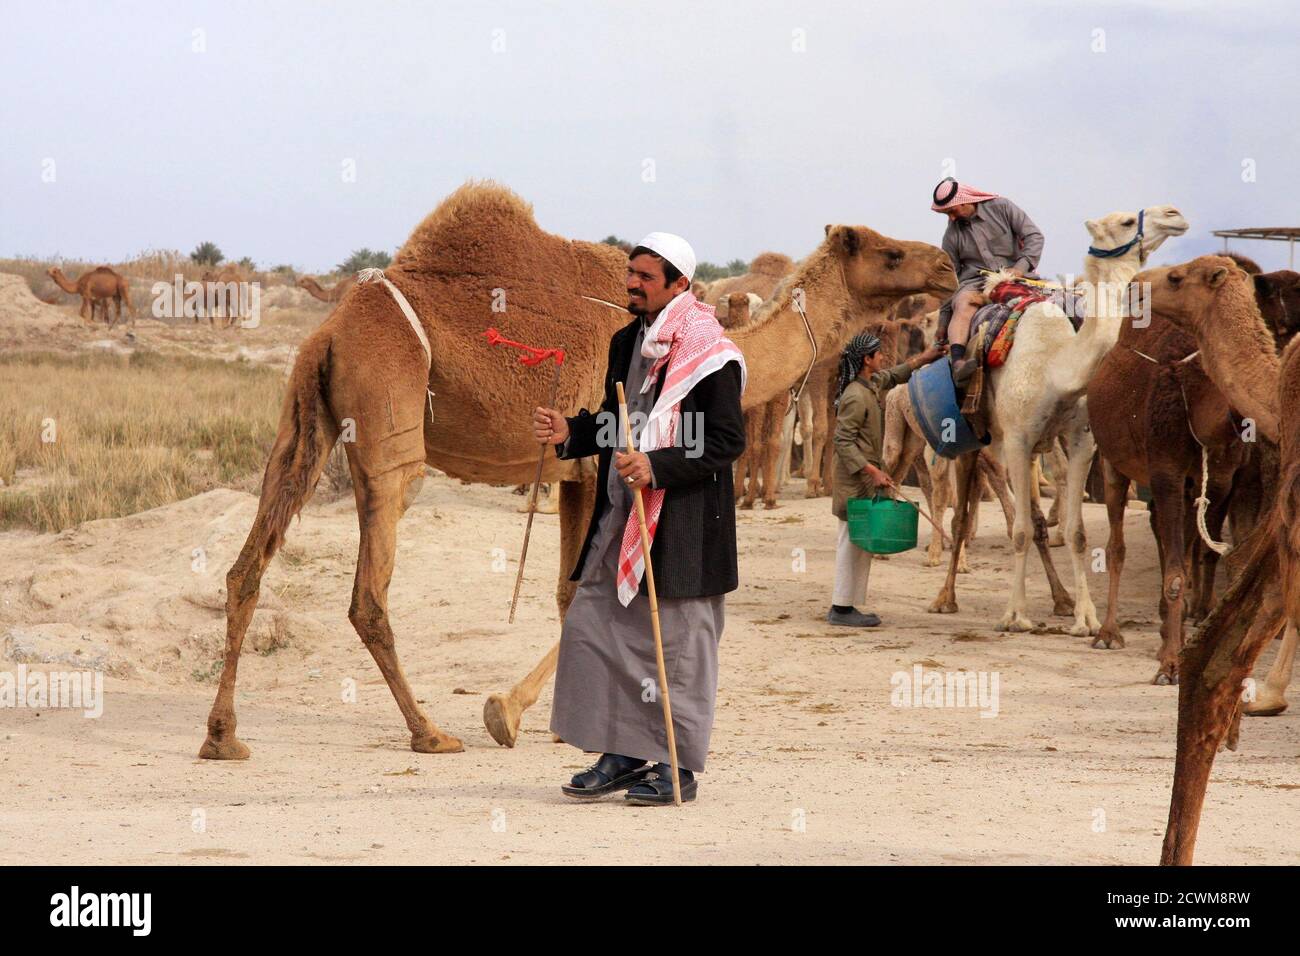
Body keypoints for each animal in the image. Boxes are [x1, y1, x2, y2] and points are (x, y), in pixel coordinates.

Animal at [198, 180, 958, 759]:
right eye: (891, 251)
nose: (948, 267)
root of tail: (325, 333)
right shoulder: (602, 466)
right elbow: (582, 593)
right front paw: (509, 713)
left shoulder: (574, 474)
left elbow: (569, 595)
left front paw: (544, 716)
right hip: (389, 433)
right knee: (369, 594)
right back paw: (428, 732)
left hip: (303, 427)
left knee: (245, 568)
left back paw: (223, 735)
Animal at [928, 205, 1190, 637]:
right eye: (1123, 221)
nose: (1175, 214)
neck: (1056, 365)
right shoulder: (1016, 440)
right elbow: (1016, 531)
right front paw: (1015, 616)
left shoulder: (1081, 439)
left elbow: (1076, 533)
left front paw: (1087, 618)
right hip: (973, 435)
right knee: (963, 516)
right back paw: (945, 598)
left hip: (1037, 449)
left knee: (1035, 519)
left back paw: (1062, 601)